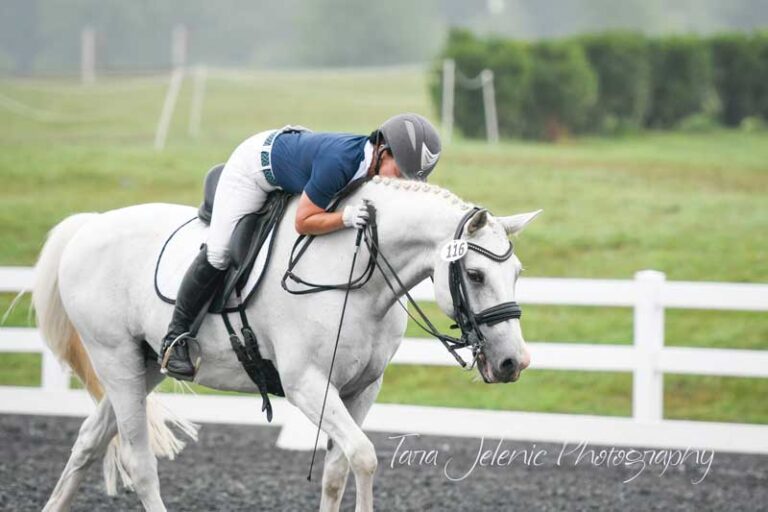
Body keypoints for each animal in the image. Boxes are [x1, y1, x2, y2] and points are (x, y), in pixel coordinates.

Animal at [32, 175, 540, 512]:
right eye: (475, 274)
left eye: (517, 273)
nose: (512, 362)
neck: (359, 273)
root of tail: (88, 227)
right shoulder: (307, 385)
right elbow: (364, 457)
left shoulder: (362, 389)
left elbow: (338, 471)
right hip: (115, 359)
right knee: (138, 462)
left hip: (146, 366)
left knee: (88, 443)